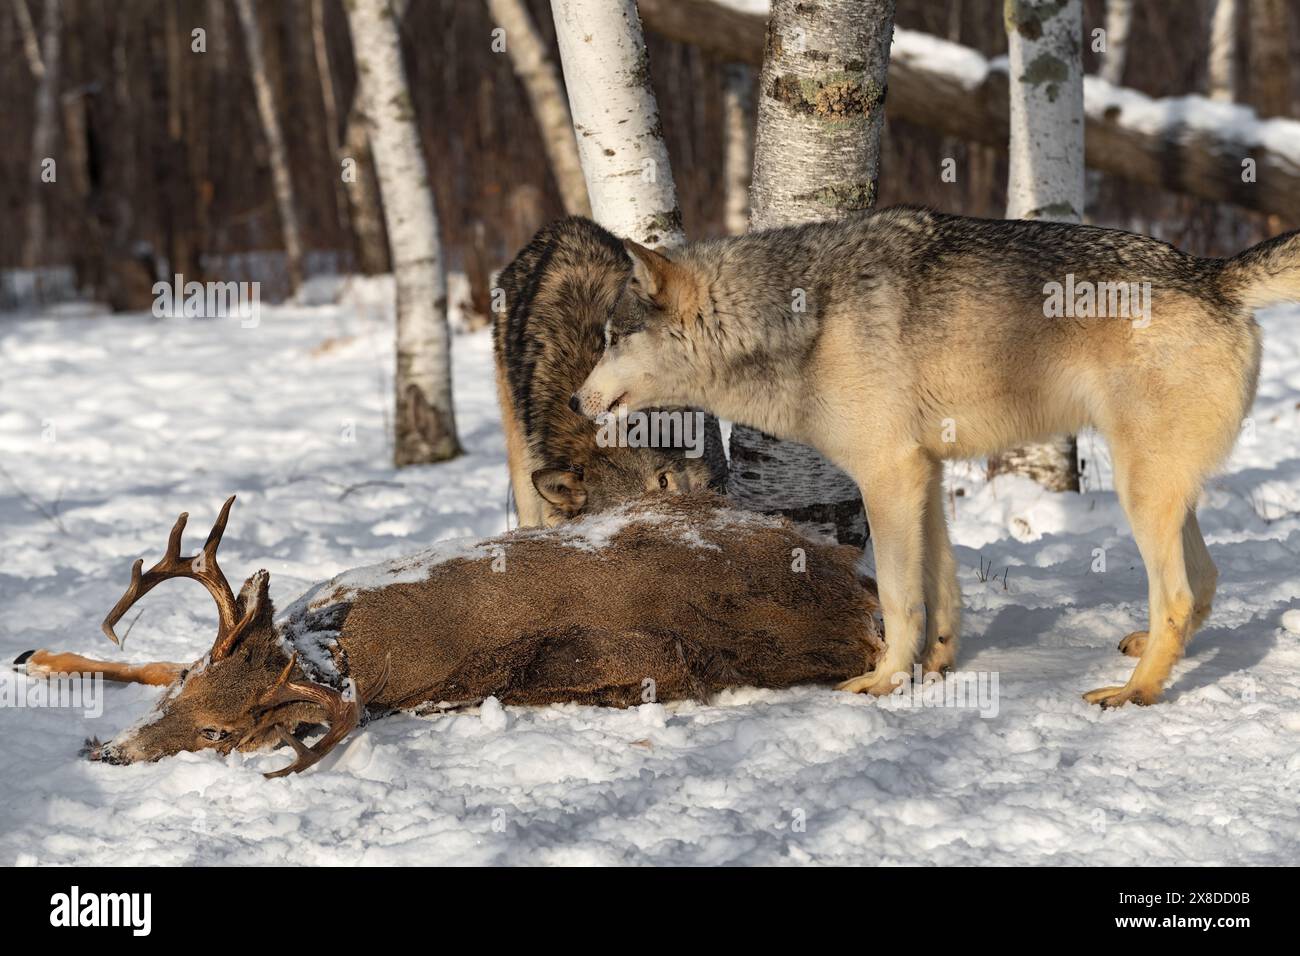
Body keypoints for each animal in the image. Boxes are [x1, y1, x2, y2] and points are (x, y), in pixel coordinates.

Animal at [571, 205, 1300, 706]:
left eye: (612, 339)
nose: (577, 402)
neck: (801, 320)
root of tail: (1211, 273)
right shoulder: (924, 473)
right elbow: (941, 587)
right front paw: (937, 665)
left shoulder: (888, 474)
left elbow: (898, 597)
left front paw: (886, 679)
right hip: (1162, 491)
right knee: (1206, 582)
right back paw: (1148, 655)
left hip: (1138, 490)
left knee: (1176, 595)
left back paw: (1133, 692)